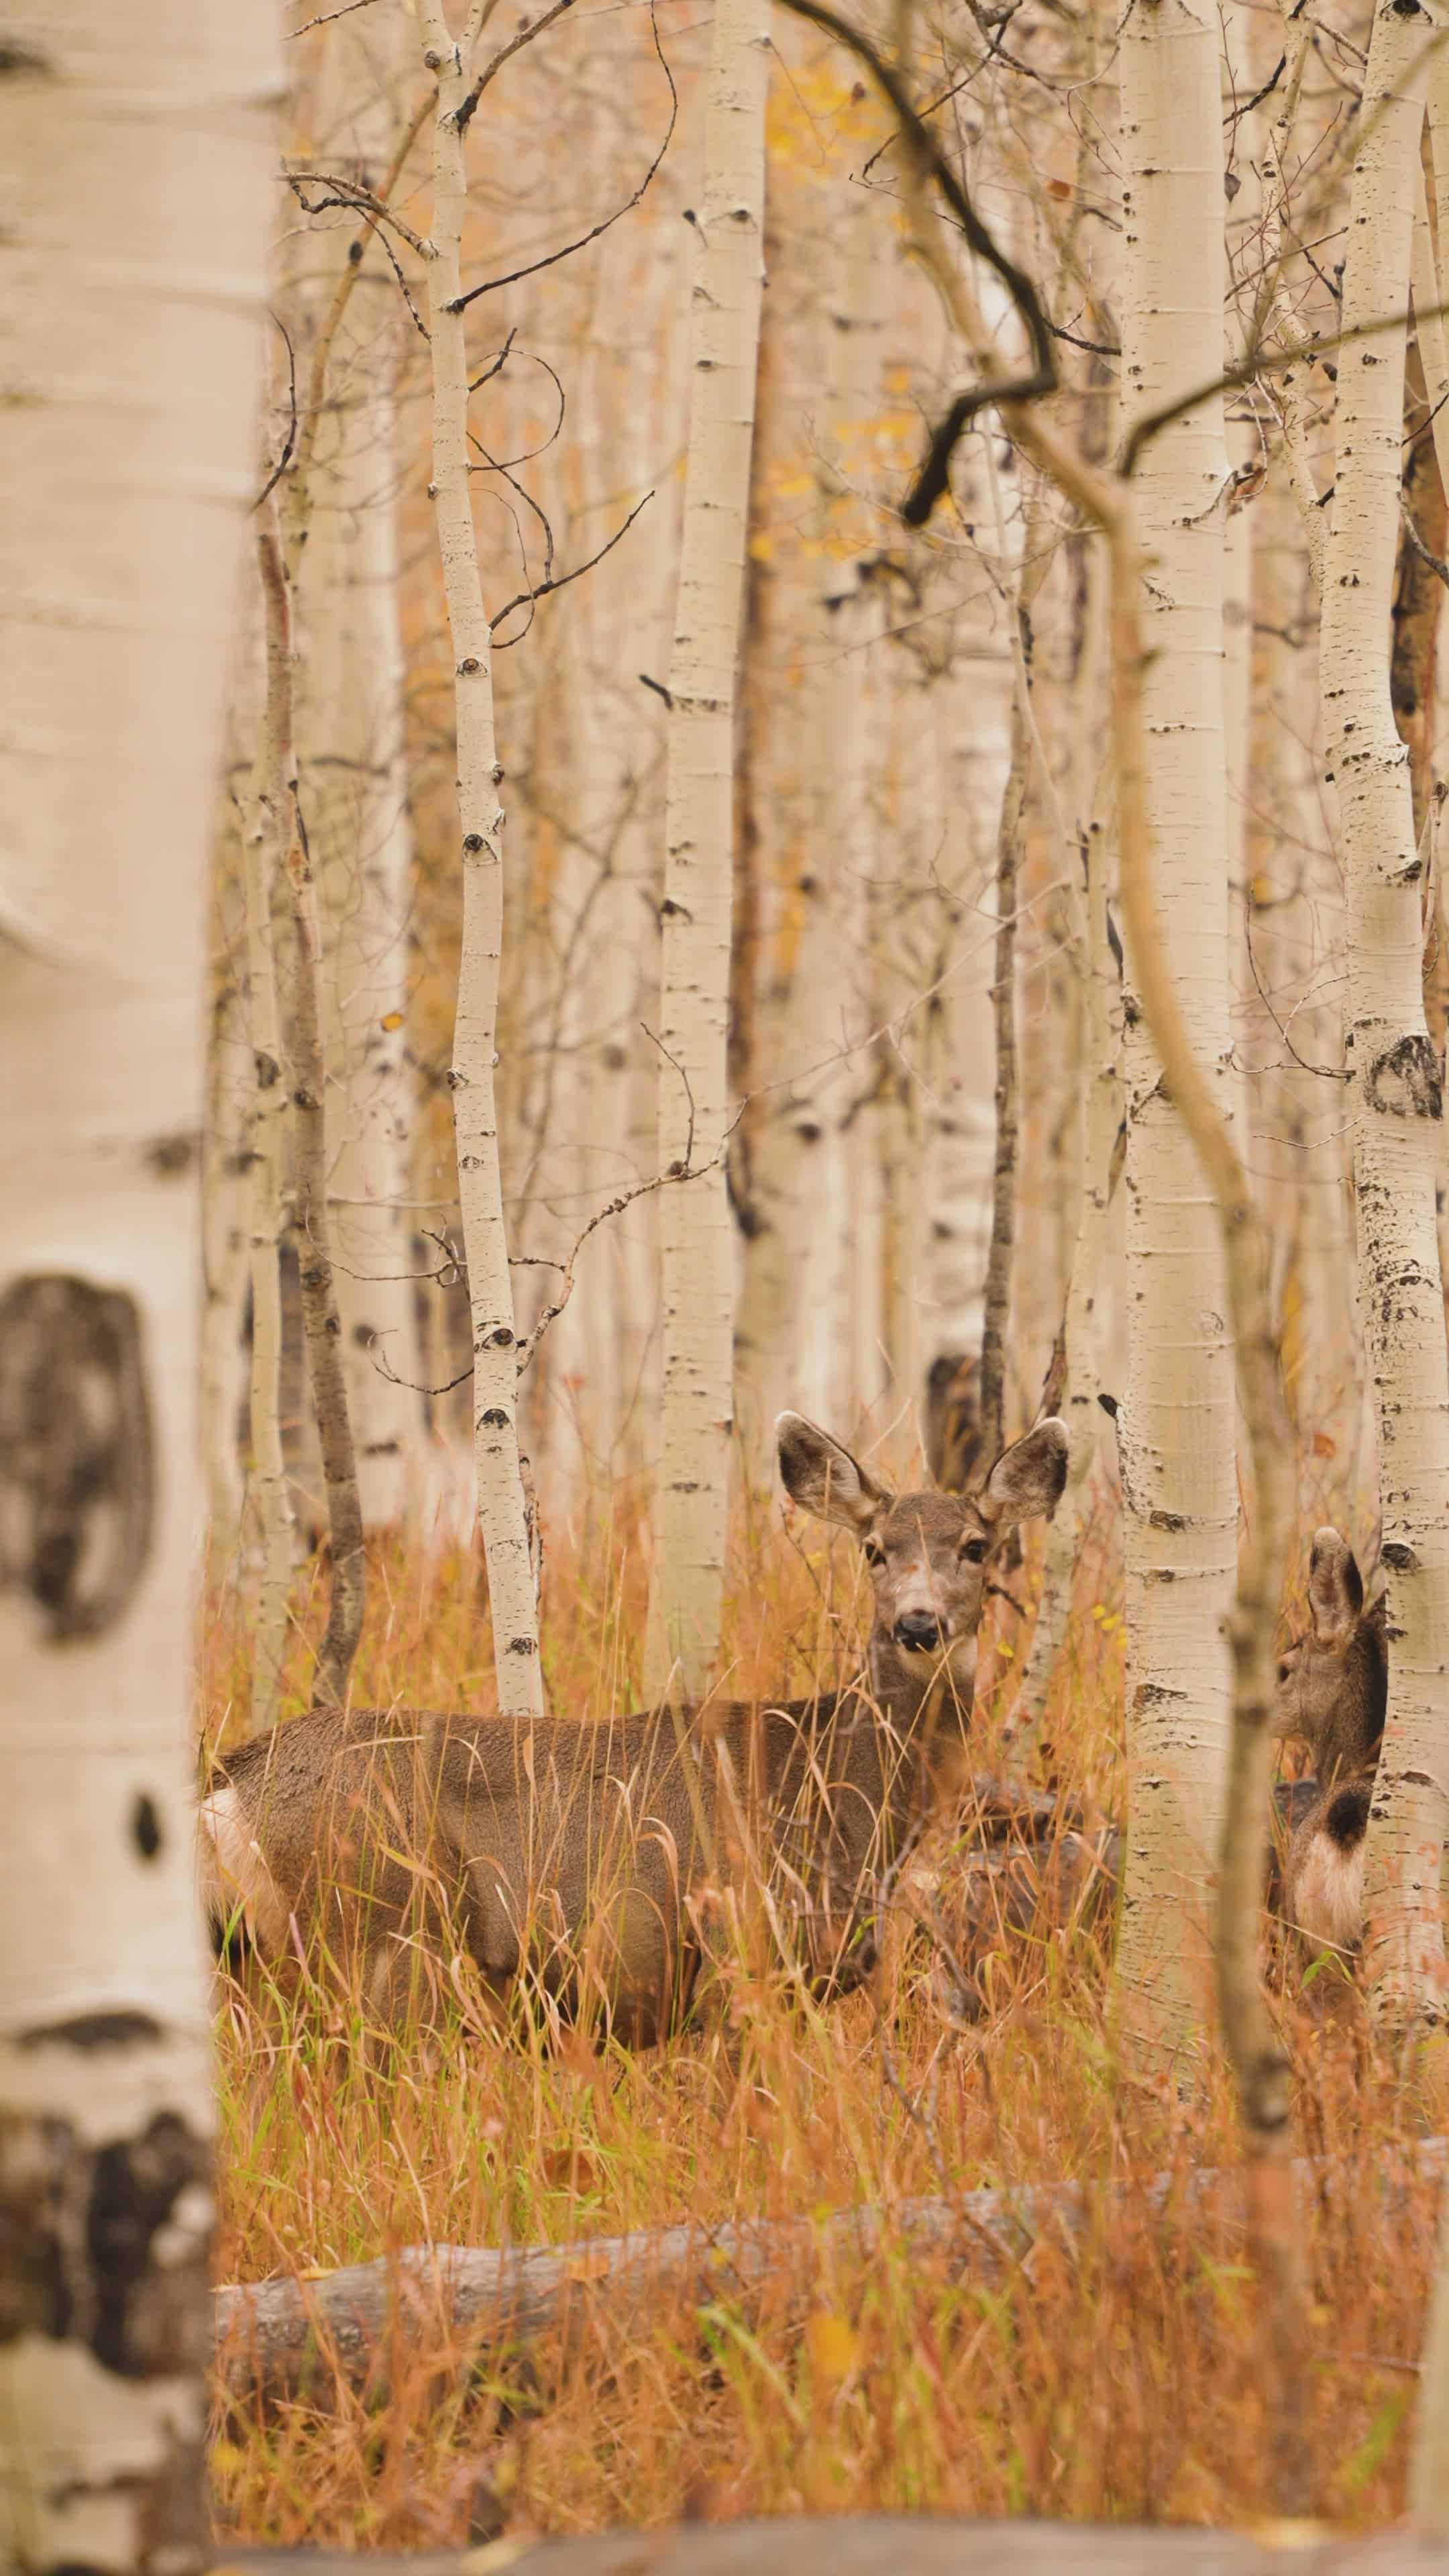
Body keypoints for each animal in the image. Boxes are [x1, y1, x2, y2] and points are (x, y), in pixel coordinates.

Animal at [199, 1410, 1068, 2046]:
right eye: (874, 1551)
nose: (918, 1625)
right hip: (378, 1937)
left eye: (976, 1546)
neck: (842, 1794)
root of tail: (229, 1782)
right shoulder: (734, 1952)